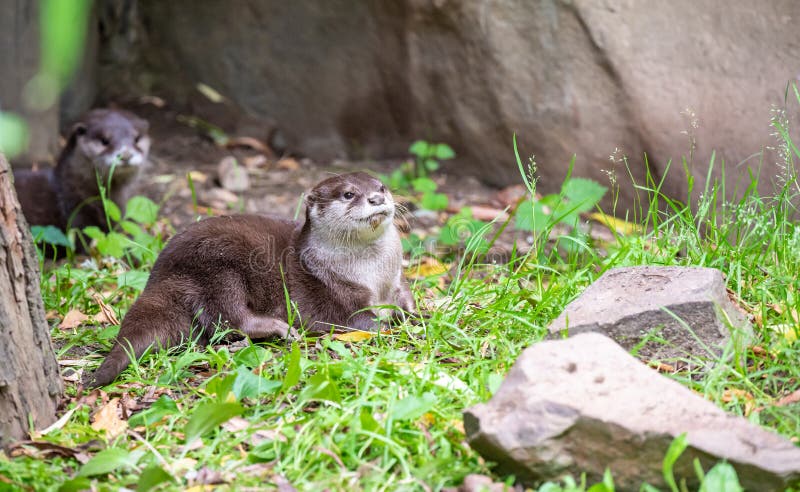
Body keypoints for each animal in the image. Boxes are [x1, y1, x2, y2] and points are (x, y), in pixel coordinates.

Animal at [83, 172, 414, 387]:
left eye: (382, 186)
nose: (377, 197)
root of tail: (159, 277)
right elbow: (364, 320)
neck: (373, 275)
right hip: (218, 267)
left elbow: (406, 300)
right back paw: (280, 328)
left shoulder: (396, 281)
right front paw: (396, 325)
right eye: (348, 194)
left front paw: (416, 312)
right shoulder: (340, 296)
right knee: (229, 318)